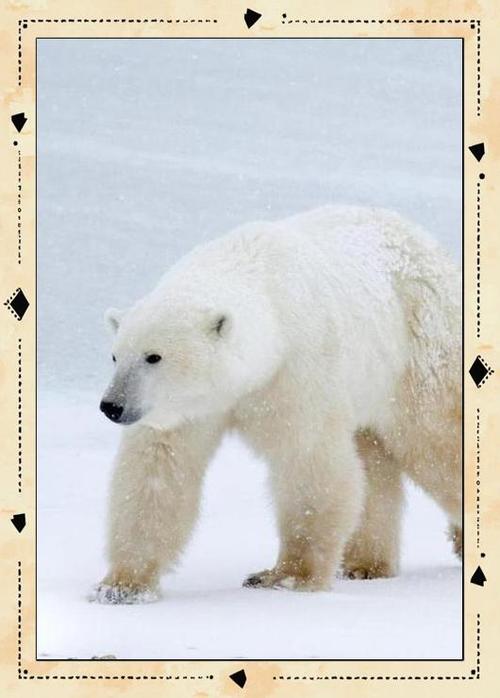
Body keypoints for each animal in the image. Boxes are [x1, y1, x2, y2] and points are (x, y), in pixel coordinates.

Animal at [91, 205, 461, 604]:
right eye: (115, 356)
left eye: (154, 356)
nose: (112, 406)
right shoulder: (189, 409)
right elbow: (157, 471)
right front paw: (121, 586)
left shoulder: (298, 369)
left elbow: (307, 461)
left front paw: (286, 577)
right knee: (372, 461)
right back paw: (365, 565)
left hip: (418, 352)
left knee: (435, 441)